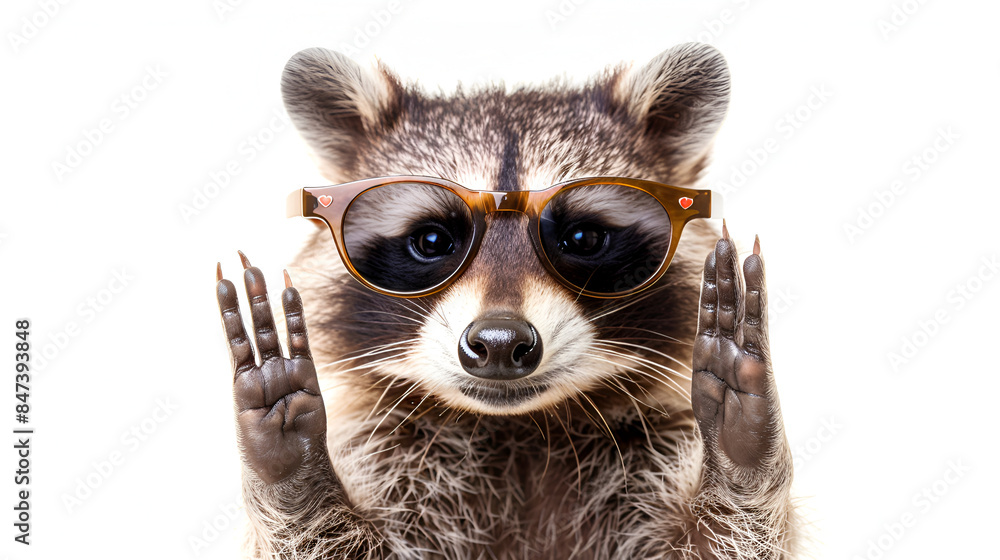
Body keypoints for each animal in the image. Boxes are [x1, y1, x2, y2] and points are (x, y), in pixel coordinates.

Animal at [216, 43, 799, 559]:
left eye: (582, 238)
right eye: (432, 241)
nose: (500, 341)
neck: (520, 429)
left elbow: (716, 540)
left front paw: (739, 447)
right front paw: (293, 466)